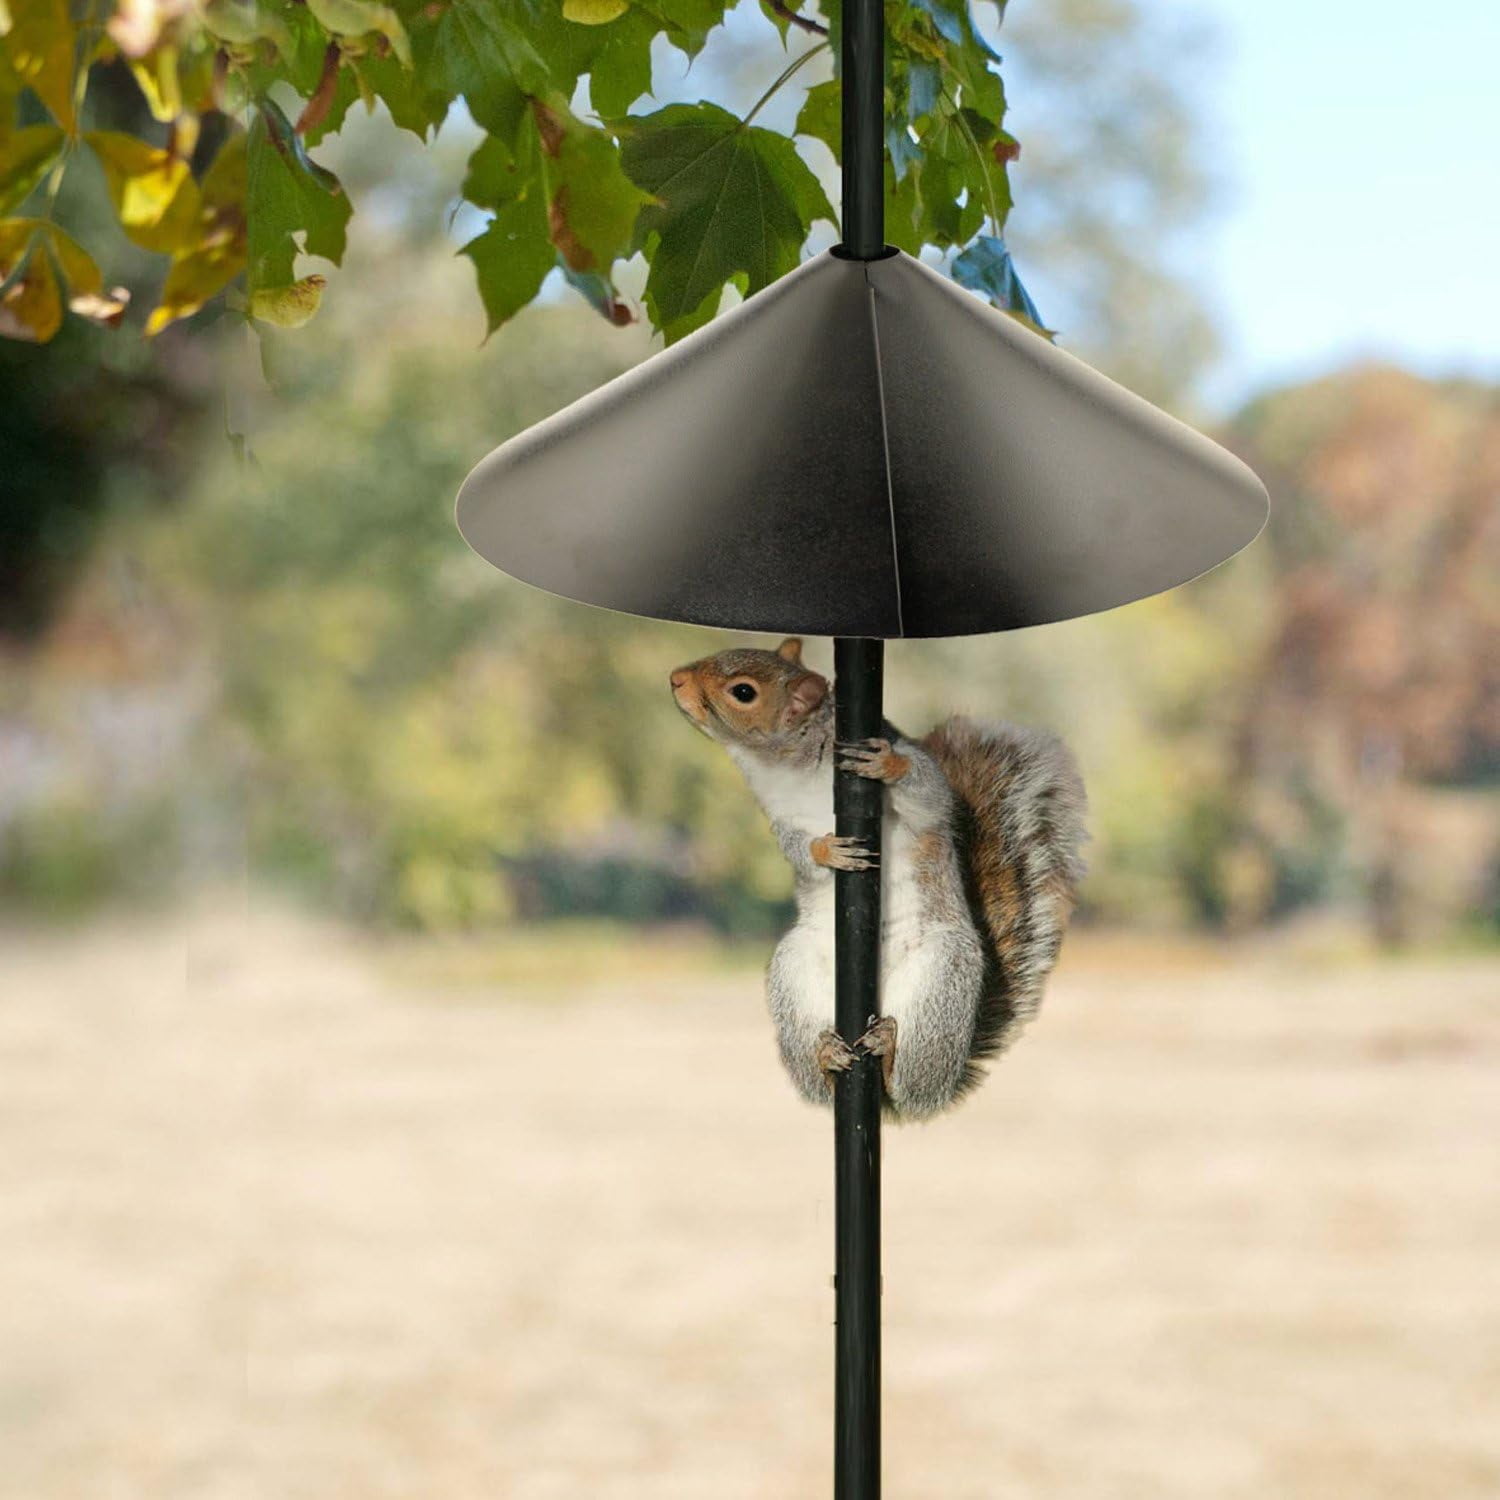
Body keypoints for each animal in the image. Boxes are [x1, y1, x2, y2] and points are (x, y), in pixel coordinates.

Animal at [670, 638, 1088, 1121]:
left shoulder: (922, 790)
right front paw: (827, 852)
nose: (675, 679)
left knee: (909, 1086)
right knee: (821, 1086)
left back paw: (889, 1055)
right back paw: (827, 1057)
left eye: (742, 692)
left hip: (942, 978)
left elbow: (929, 794)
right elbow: (797, 850)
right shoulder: (781, 819)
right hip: (794, 971)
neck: (788, 765)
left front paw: (888, 764)